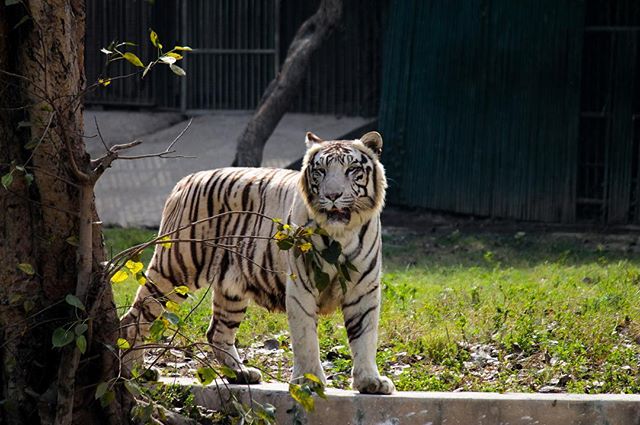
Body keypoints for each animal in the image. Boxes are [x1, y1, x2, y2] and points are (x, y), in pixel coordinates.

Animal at [120, 131, 395, 394]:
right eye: (320, 171)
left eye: (351, 170)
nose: (333, 195)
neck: (341, 234)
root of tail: (186, 180)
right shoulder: (301, 287)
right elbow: (306, 339)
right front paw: (309, 381)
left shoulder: (364, 288)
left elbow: (364, 336)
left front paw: (370, 381)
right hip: (176, 269)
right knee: (135, 317)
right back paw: (135, 371)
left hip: (231, 288)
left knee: (217, 332)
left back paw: (240, 373)